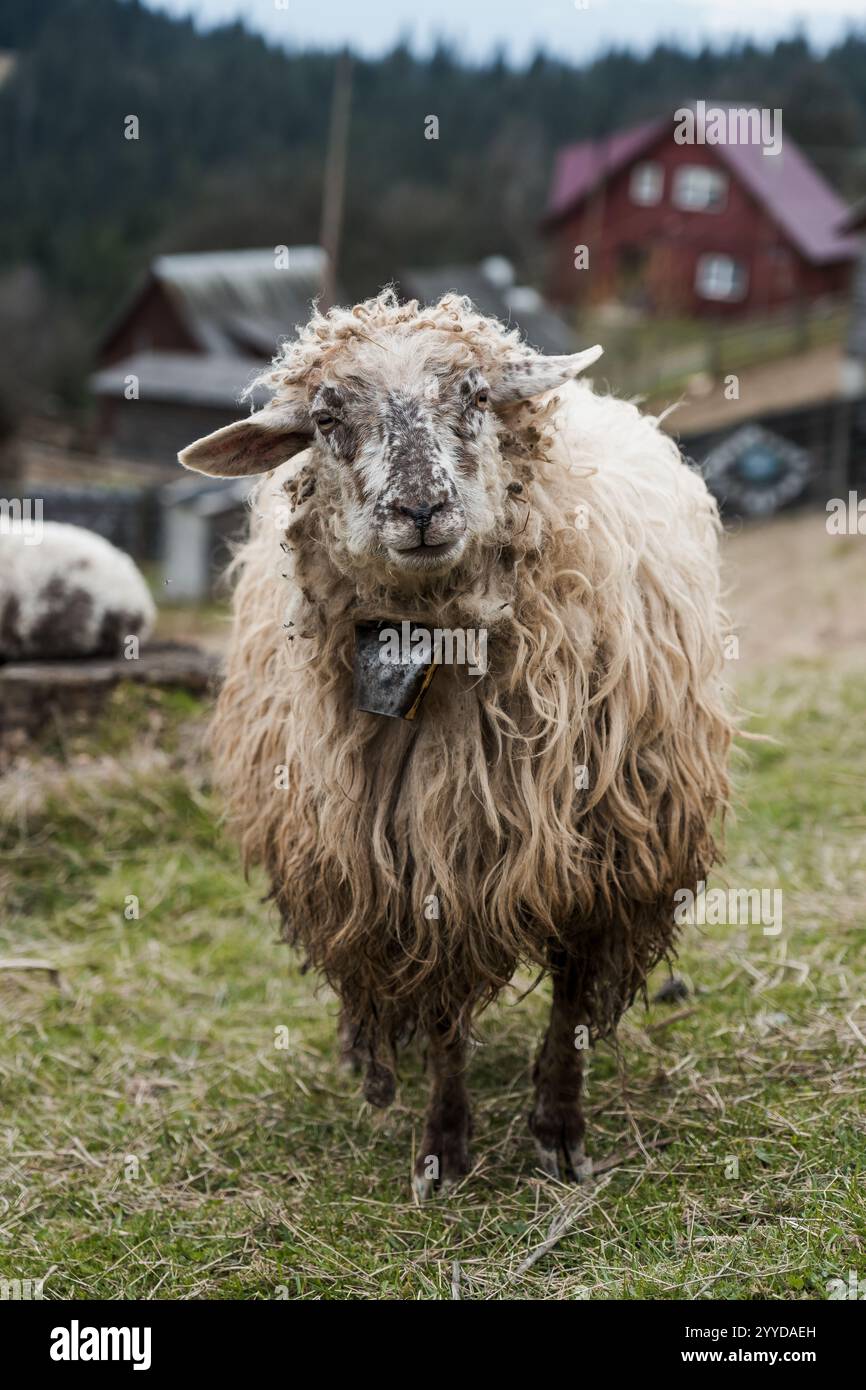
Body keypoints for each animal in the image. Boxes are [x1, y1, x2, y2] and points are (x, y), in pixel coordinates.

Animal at [179, 290, 733, 1195]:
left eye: (475, 395)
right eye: (327, 418)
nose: (420, 510)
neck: (440, 642)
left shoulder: (598, 863)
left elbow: (570, 1006)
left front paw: (560, 1133)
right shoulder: (417, 865)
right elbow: (441, 1022)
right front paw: (442, 1147)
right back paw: (366, 1055)